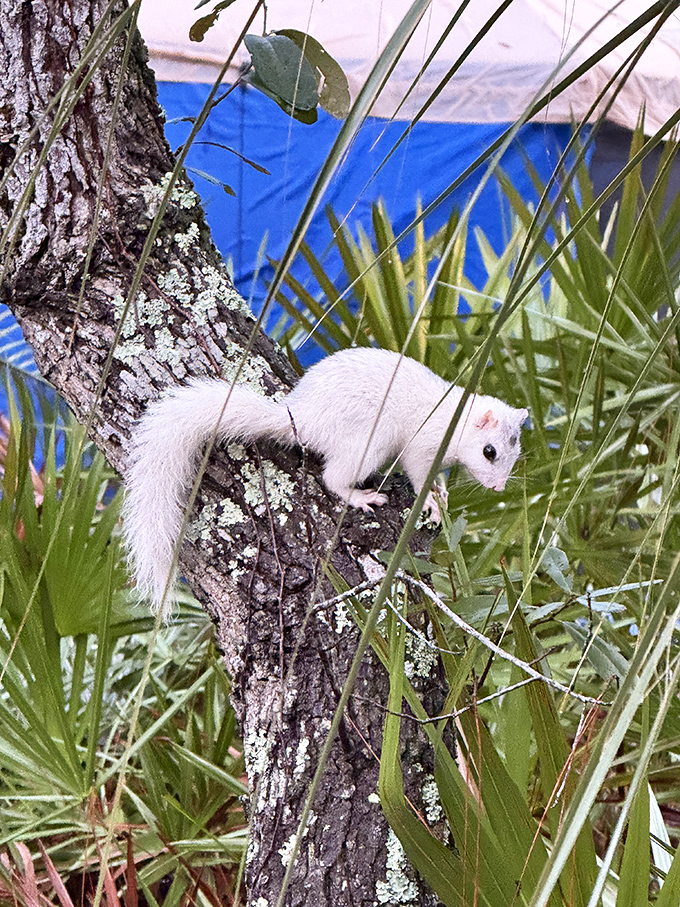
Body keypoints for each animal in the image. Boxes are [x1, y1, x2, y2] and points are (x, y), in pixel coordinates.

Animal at [123, 347, 528, 616]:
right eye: (489, 451)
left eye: (515, 451)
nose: (498, 488)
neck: (453, 421)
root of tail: (300, 418)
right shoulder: (421, 445)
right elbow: (417, 475)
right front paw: (429, 499)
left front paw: (442, 493)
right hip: (368, 443)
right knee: (333, 477)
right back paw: (362, 497)